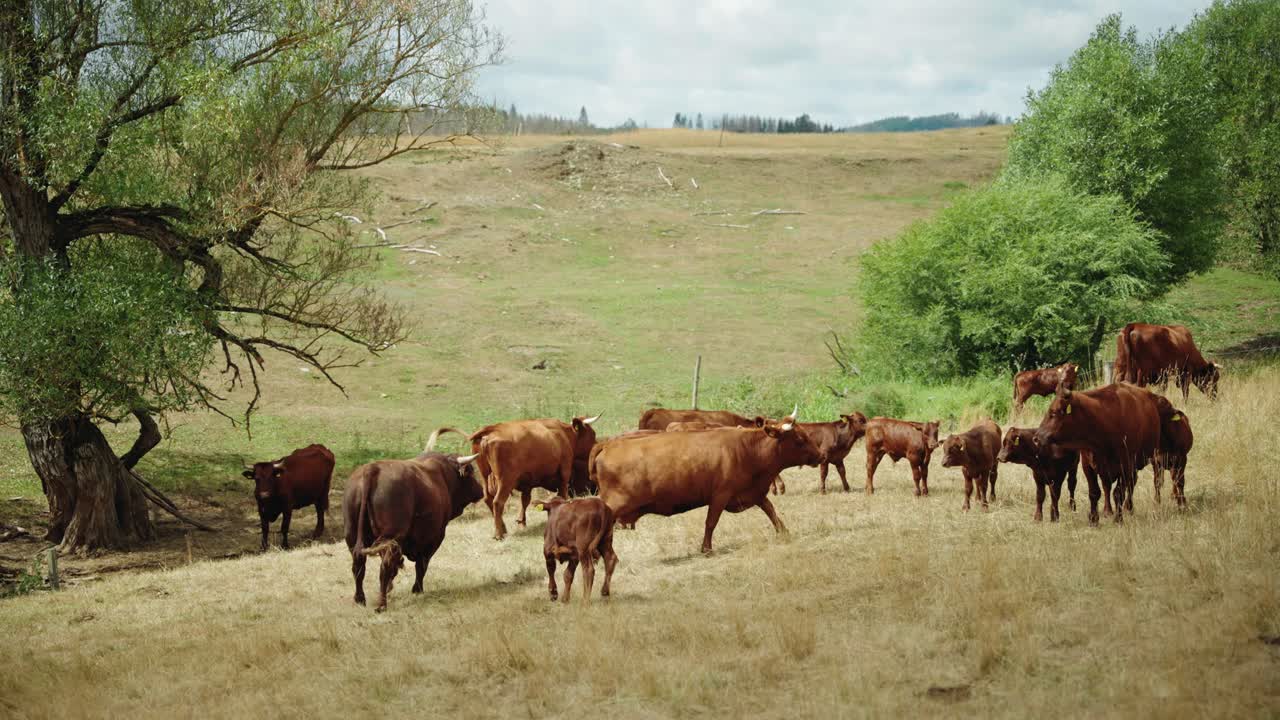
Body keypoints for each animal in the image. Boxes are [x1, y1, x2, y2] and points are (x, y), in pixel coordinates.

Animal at [343, 450, 483, 612]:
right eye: (470, 471)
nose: (480, 490)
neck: (444, 477)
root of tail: (372, 469)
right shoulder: (435, 537)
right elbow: (422, 565)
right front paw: (417, 589)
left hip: (353, 536)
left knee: (358, 565)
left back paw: (360, 599)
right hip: (391, 538)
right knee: (385, 566)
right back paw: (381, 605)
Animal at [426, 414, 601, 540]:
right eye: (592, 434)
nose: (596, 447)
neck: (562, 433)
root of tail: (491, 429)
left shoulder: (527, 482)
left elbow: (525, 500)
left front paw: (521, 522)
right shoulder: (564, 473)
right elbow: (562, 495)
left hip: (485, 475)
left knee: (488, 499)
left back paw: (502, 528)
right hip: (505, 479)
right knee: (498, 502)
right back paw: (499, 533)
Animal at [594, 409, 821, 554]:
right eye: (800, 439)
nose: (820, 455)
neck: (747, 448)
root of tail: (609, 445)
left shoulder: (753, 492)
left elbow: (771, 510)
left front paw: (784, 532)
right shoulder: (720, 495)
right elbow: (711, 522)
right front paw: (706, 548)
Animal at [1035, 381, 1162, 524]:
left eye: (1053, 413)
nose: (1036, 438)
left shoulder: (1125, 466)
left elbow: (1118, 493)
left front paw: (1118, 519)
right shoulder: (1088, 465)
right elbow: (1094, 492)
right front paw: (1094, 519)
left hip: (1152, 457)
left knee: (1141, 482)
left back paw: (1131, 507)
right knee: (1108, 486)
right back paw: (1108, 510)